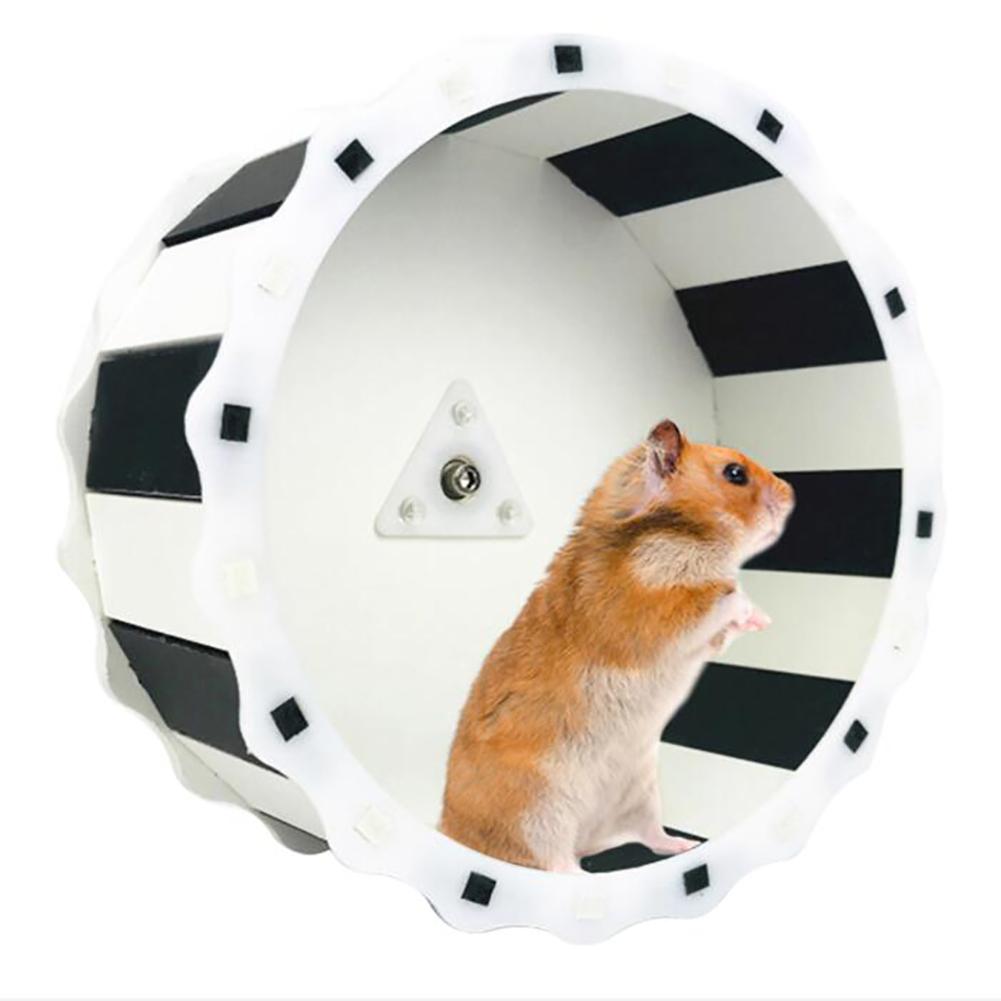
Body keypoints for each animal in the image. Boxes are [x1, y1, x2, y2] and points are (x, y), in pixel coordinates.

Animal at [439, 419, 795, 872]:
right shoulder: (652, 617)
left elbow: (722, 631)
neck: (677, 534)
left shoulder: (699, 642)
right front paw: (751, 606)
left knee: (649, 837)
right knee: (554, 864)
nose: (792, 492)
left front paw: (761, 621)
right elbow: (720, 598)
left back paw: (686, 846)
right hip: (537, 816)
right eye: (735, 473)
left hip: (638, 793)